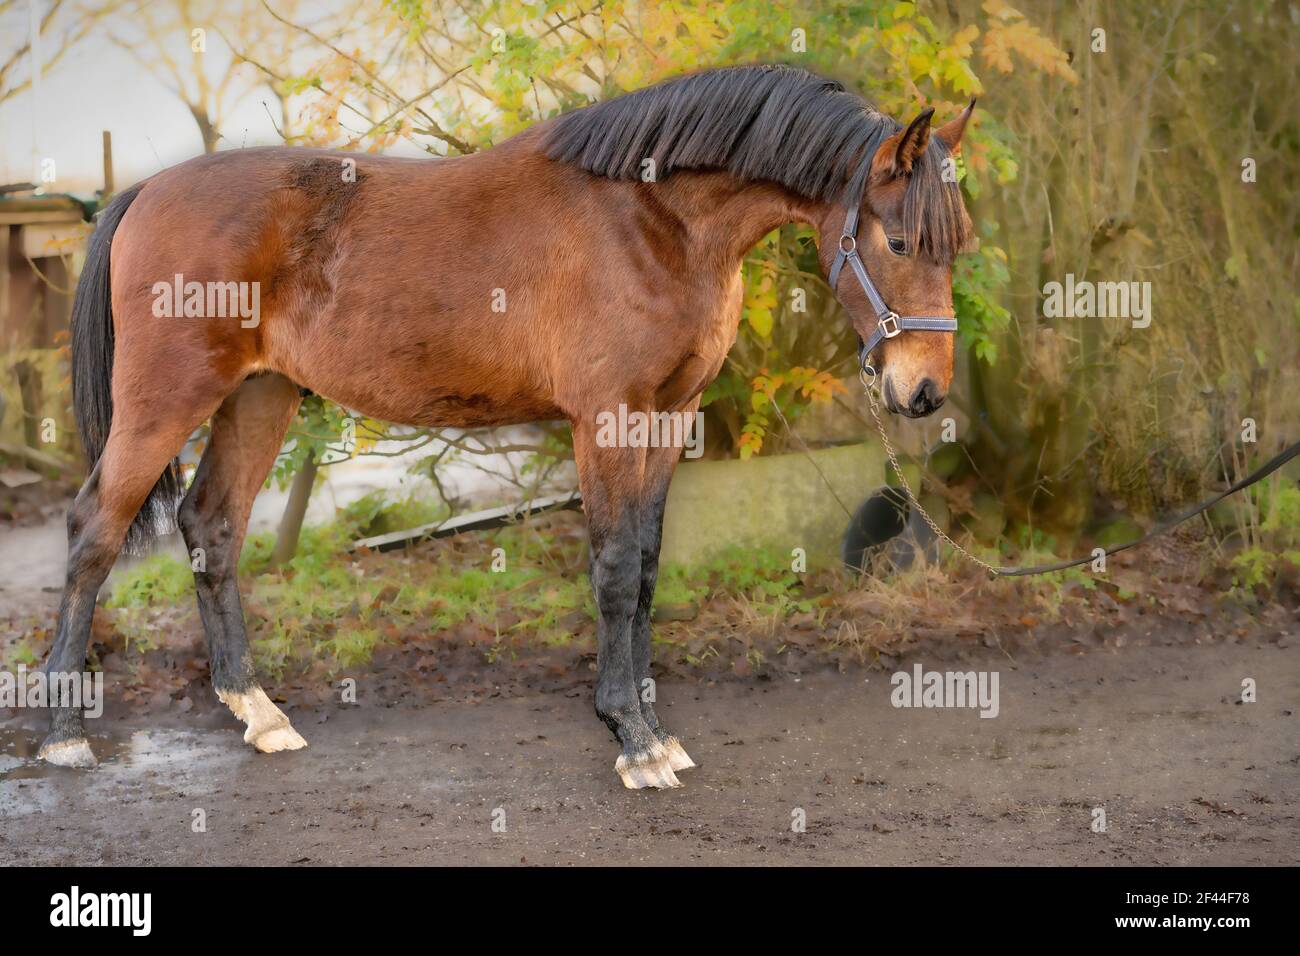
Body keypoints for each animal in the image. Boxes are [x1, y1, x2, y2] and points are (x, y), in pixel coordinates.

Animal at [43, 64, 974, 789]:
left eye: (956, 243)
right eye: (899, 239)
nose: (924, 392)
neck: (654, 220)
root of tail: (144, 191)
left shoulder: (668, 419)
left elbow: (646, 567)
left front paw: (655, 732)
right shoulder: (607, 419)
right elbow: (613, 569)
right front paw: (631, 742)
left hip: (260, 396)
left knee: (213, 526)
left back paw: (258, 713)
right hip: (167, 400)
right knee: (96, 530)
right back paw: (64, 734)